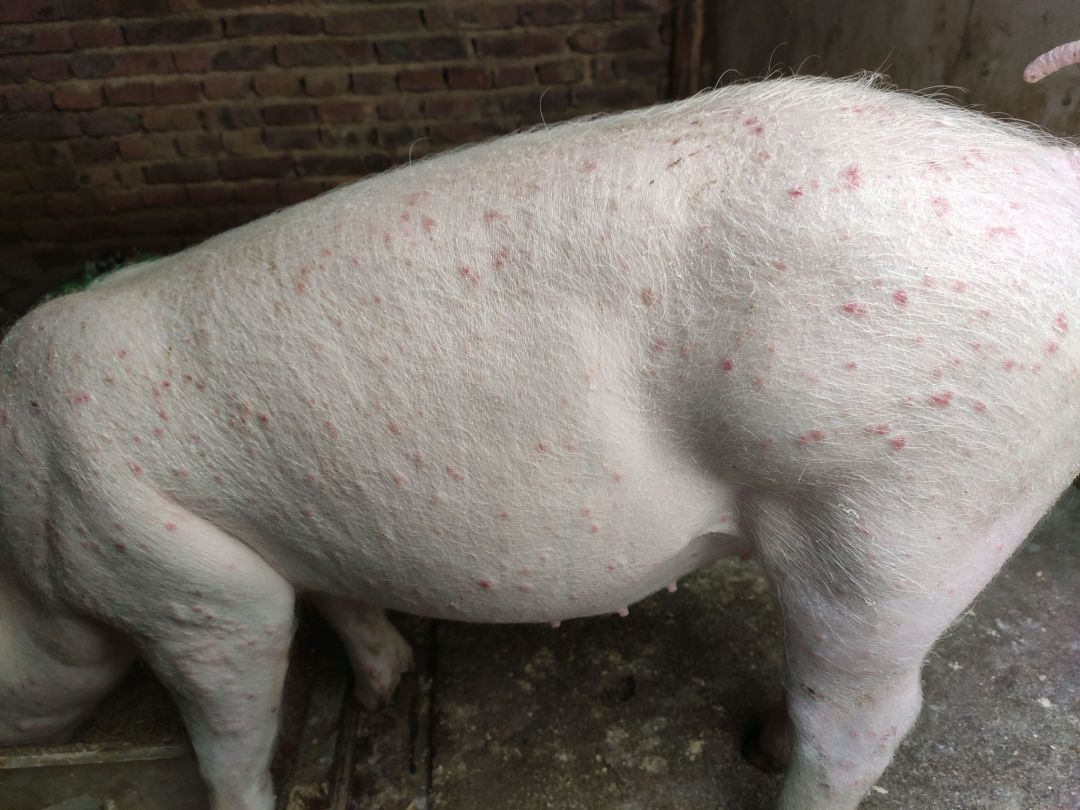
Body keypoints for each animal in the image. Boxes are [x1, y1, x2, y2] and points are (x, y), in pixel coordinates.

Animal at [3, 43, 1080, 810]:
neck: (27, 548)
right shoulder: (291, 531)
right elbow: (339, 601)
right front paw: (387, 685)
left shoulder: (185, 586)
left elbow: (232, 722)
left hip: (899, 516)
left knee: (865, 724)